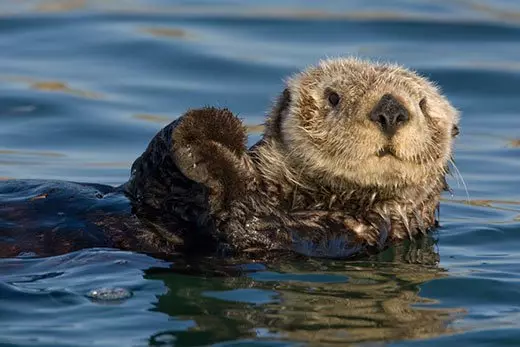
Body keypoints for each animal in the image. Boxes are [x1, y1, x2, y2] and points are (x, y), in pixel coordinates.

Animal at [0, 57, 458, 258]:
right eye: (333, 97)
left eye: (422, 104)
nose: (391, 110)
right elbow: (148, 182)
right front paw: (211, 135)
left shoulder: (344, 235)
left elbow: (245, 229)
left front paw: (211, 148)